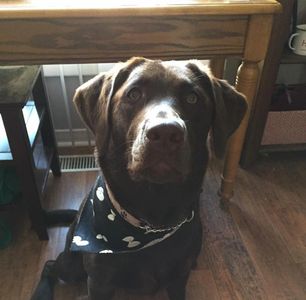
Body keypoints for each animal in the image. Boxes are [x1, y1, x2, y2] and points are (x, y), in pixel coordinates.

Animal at [31, 56, 246, 300]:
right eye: (133, 94)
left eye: (192, 98)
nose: (165, 133)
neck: (150, 223)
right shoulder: (99, 282)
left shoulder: (179, 278)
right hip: (72, 266)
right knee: (50, 265)